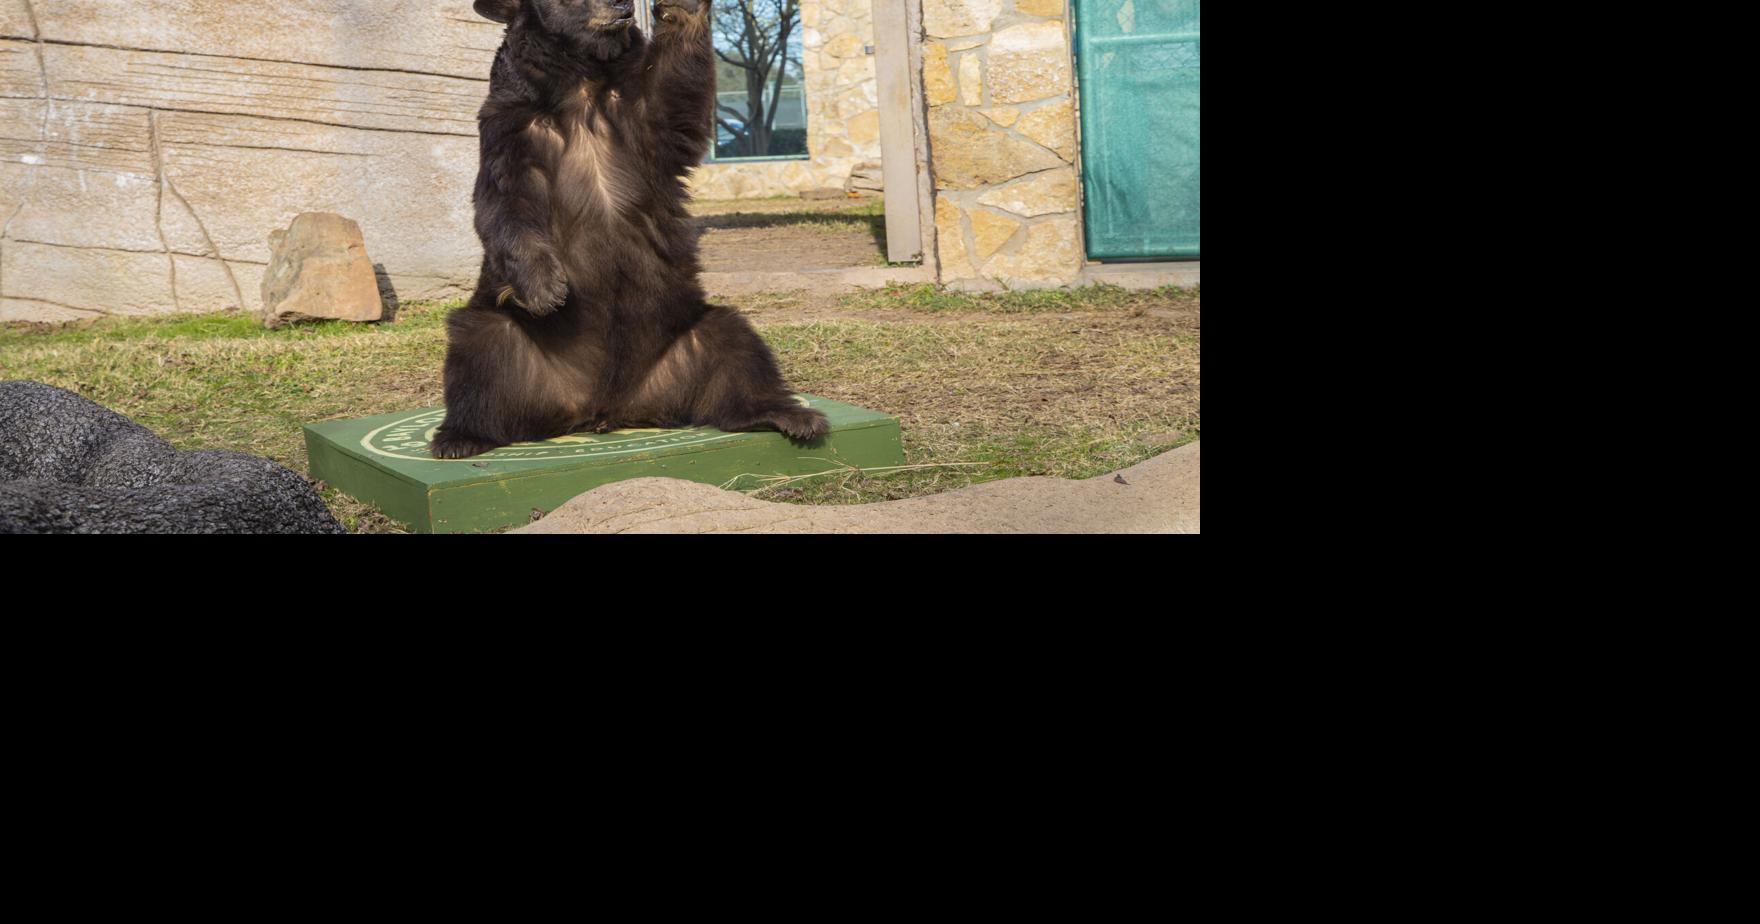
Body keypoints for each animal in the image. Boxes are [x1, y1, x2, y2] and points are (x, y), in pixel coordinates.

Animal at [432, 0, 829, 459]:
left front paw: (682, 9)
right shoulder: (512, 127)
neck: (581, 83)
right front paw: (548, 288)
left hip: (682, 336)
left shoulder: (634, 116)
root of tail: (605, 408)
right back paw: (460, 436)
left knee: (736, 345)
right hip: (512, 341)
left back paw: (787, 414)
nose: (622, 6)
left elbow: (674, 97)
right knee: (479, 349)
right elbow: (504, 202)